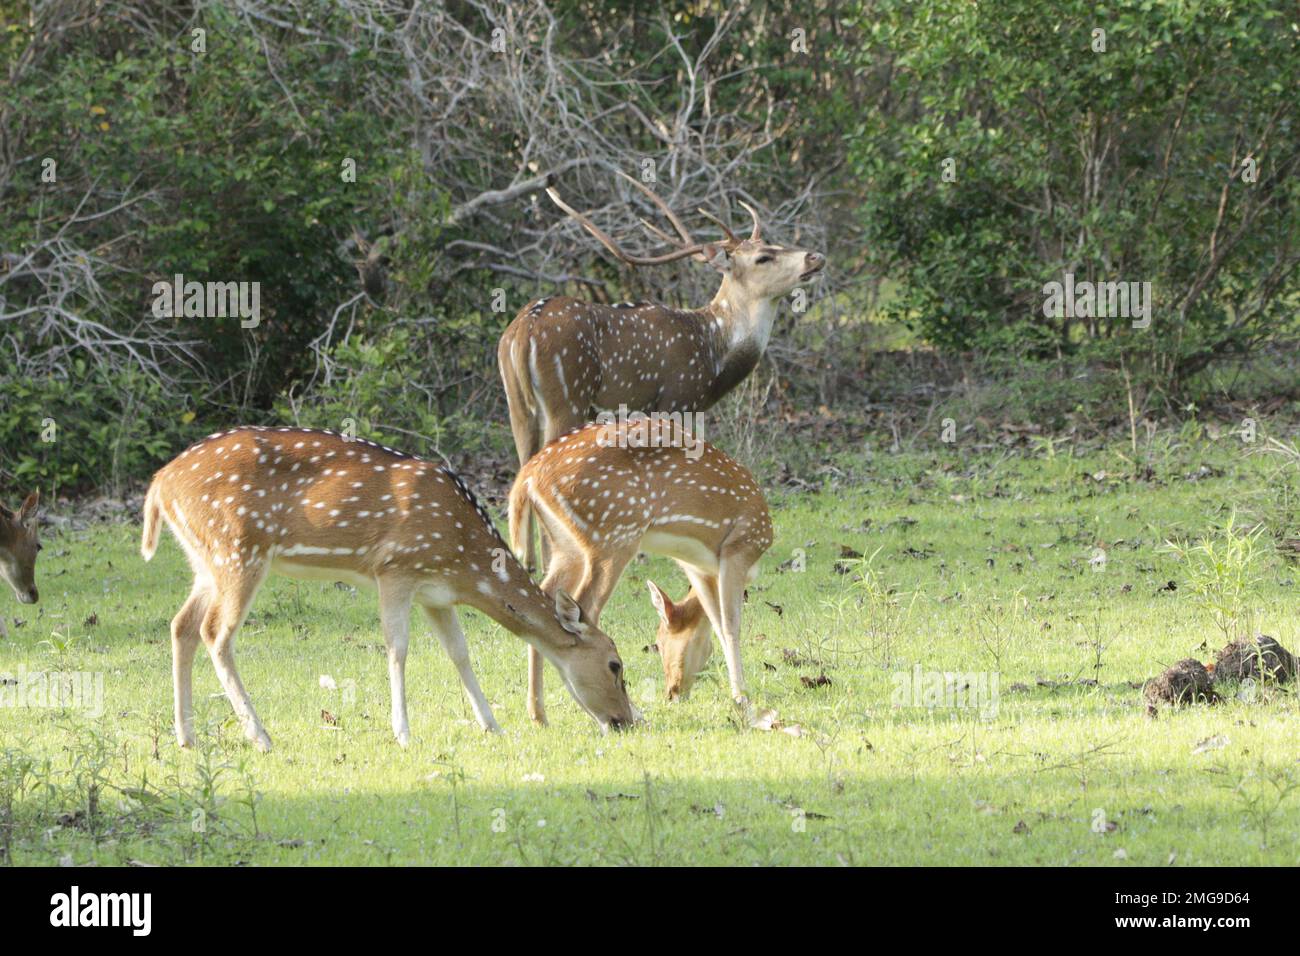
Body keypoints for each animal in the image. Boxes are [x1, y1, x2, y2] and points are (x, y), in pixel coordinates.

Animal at [140, 427, 635, 753]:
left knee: (181, 625)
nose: (626, 722)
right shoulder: (395, 568)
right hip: (238, 551)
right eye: (615, 664)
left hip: (204, 561)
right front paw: (403, 733)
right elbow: (397, 649)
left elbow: (459, 652)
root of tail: (158, 486)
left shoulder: (436, 593)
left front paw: (493, 726)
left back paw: (187, 737)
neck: (464, 556)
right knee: (215, 633)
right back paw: (260, 736)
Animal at [498, 173, 822, 575]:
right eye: (764, 257)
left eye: (771, 244)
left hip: (517, 405)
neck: (713, 354)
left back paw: (526, 564)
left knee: (521, 469)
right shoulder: (677, 400)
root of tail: (523, 331)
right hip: (567, 396)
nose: (815, 256)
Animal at [507, 416, 772, 724]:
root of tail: (528, 477)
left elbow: (717, 623)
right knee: (585, 610)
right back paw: (622, 711)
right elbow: (730, 625)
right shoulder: (739, 548)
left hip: (566, 546)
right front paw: (742, 698)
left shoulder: (700, 568)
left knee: (543, 599)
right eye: (658, 642)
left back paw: (538, 715)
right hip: (614, 534)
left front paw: (736, 695)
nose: (672, 692)